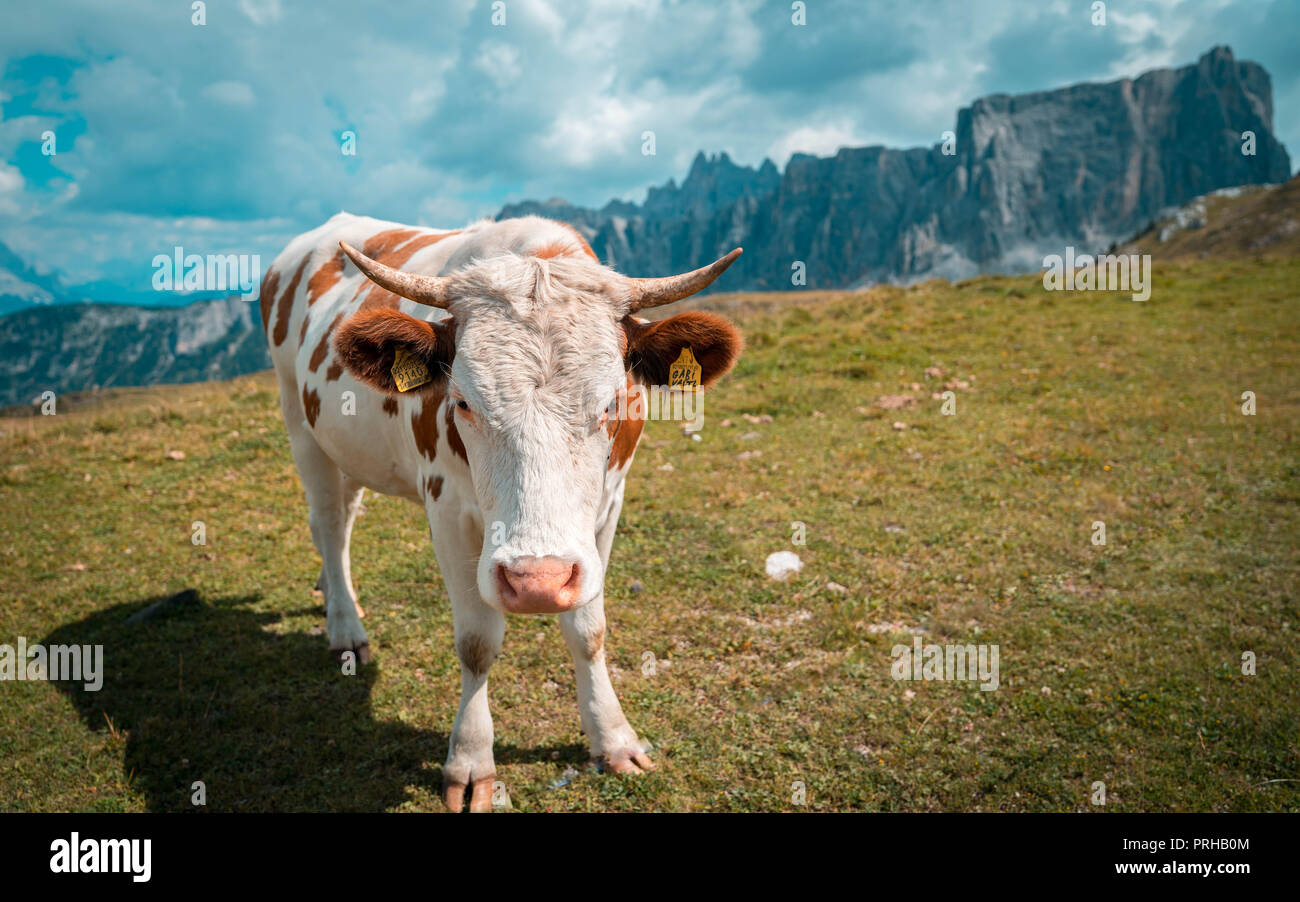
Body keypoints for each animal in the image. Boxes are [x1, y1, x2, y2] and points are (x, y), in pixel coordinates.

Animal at [261, 213, 743, 811]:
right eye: (463, 401)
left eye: (612, 402)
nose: (537, 581)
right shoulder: (446, 508)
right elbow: (476, 643)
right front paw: (470, 761)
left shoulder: (608, 505)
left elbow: (589, 628)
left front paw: (613, 738)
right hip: (299, 424)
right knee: (327, 521)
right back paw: (346, 627)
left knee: (342, 519)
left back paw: (334, 593)